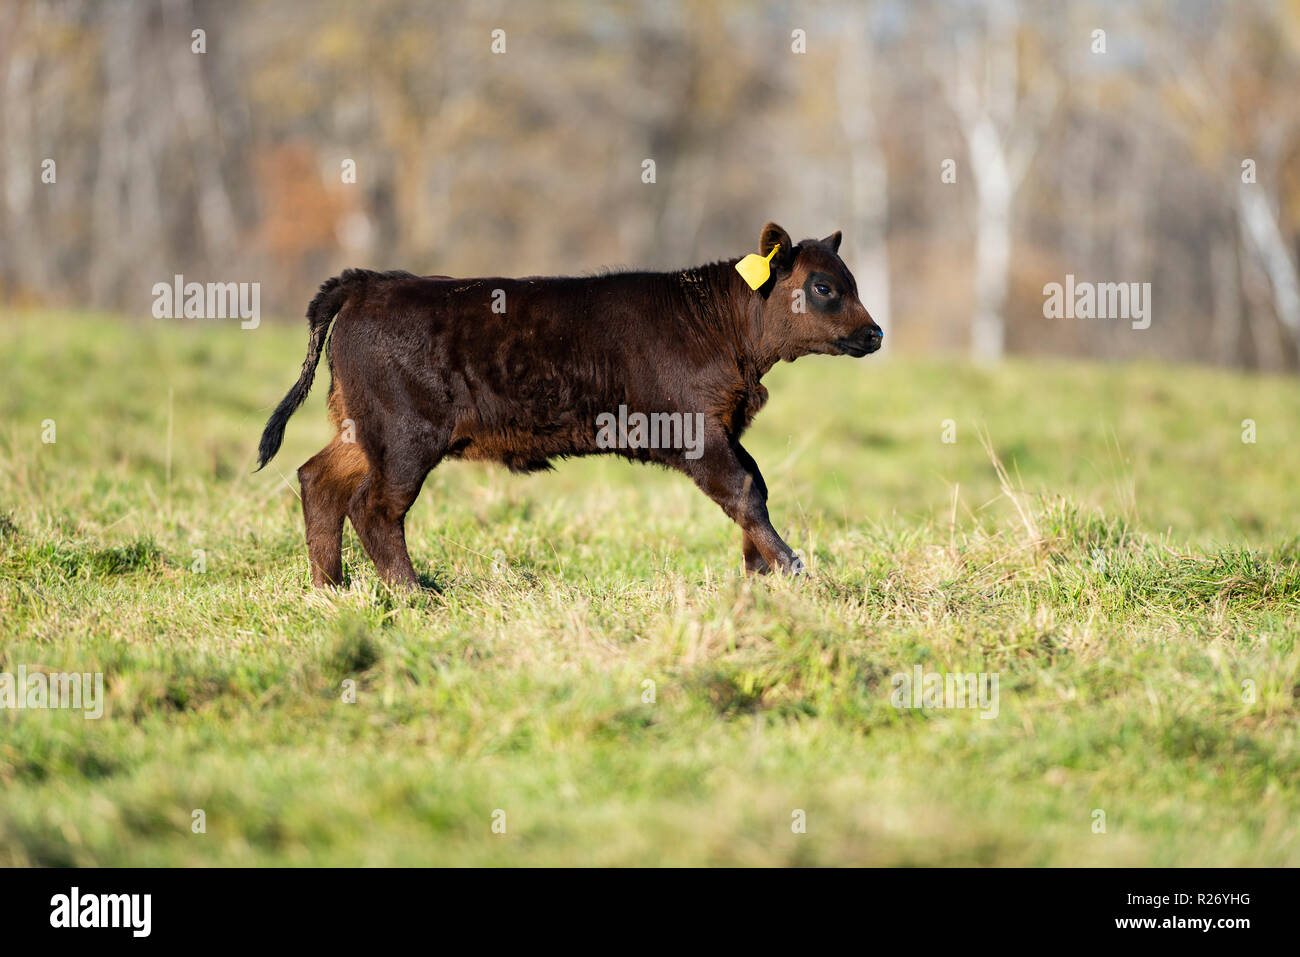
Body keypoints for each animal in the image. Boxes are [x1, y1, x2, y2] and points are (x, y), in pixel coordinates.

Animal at [256, 222, 882, 588]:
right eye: (824, 287)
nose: (875, 333)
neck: (719, 324)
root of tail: (369, 282)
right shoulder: (695, 431)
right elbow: (745, 491)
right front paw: (791, 567)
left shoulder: (724, 429)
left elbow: (756, 487)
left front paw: (757, 573)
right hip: (406, 437)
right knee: (375, 507)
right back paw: (412, 592)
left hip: (361, 431)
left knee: (318, 479)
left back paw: (331, 586)